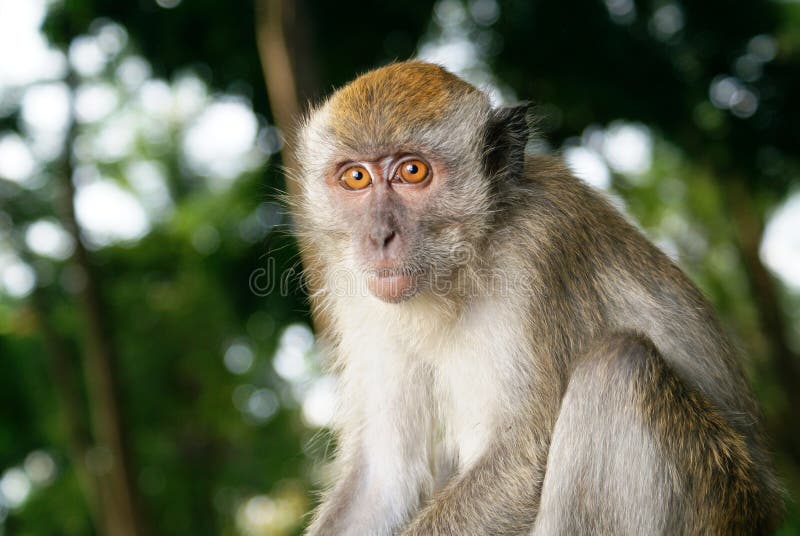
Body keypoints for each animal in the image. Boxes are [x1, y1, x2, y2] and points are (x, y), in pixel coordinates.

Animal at [290, 61, 782, 535]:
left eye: (413, 171)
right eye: (356, 177)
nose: (378, 237)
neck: (460, 268)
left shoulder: (537, 251)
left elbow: (521, 463)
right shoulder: (357, 292)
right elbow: (384, 479)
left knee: (618, 367)